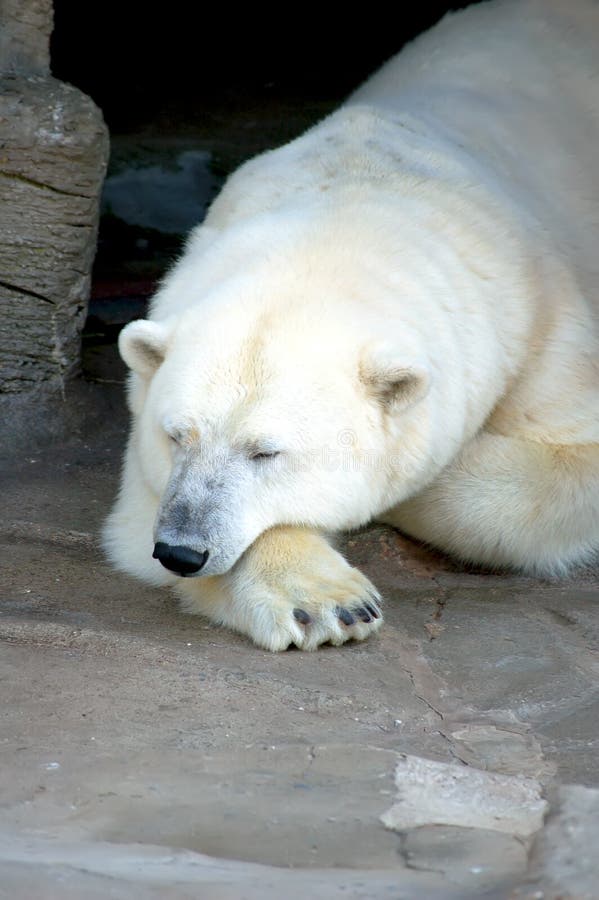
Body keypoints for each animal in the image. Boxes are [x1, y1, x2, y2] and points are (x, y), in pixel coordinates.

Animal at [104, 0, 599, 651]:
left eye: (267, 452)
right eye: (176, 435)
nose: (182, 550)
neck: (350, 212)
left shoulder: (543, 319)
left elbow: (563, 461)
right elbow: (140, 507)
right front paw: (325, 600)